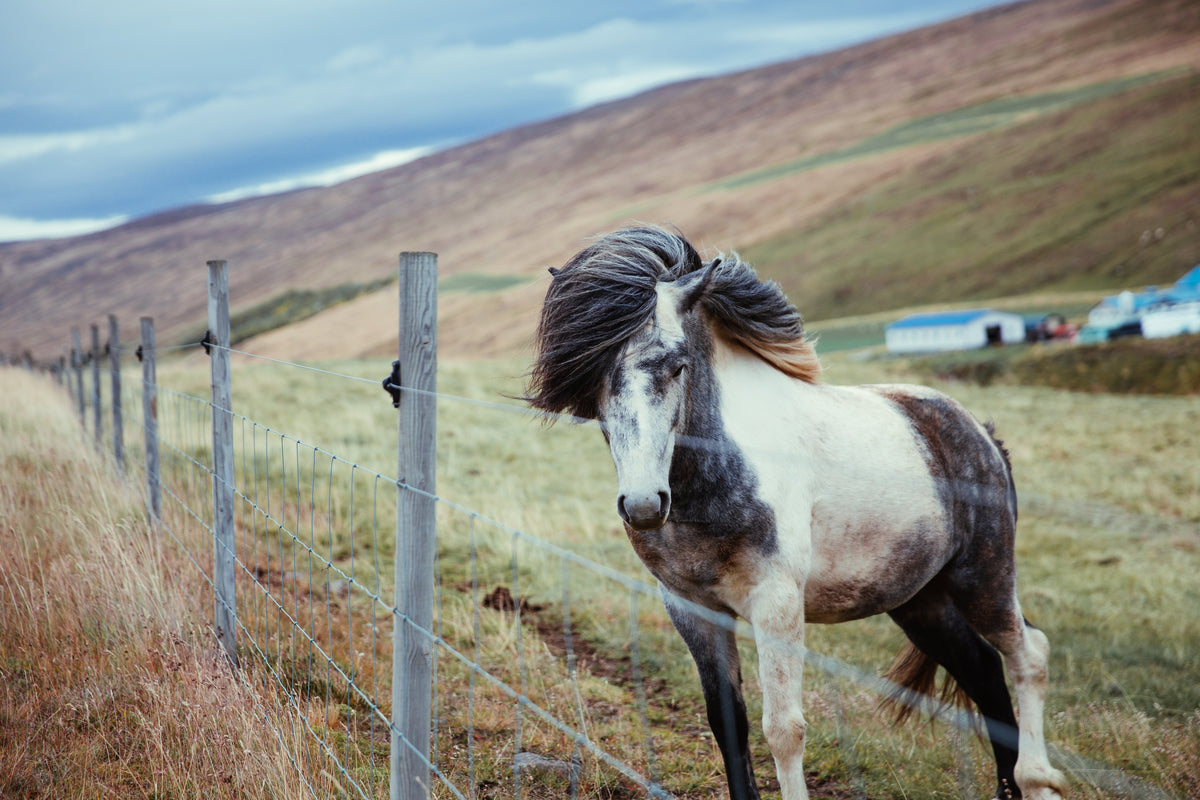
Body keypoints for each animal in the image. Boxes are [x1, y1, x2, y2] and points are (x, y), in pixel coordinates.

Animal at [525, 226, 1068, 800]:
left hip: (982, 576)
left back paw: (1036, 778)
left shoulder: (777, 603)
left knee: (1028, 655)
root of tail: (980, 434)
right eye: (593, 375)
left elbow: (783, 730)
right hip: (920, 600)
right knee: (983, 672)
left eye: (677, 366)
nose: (645, 504)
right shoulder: (691, 607)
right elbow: (728, 723)